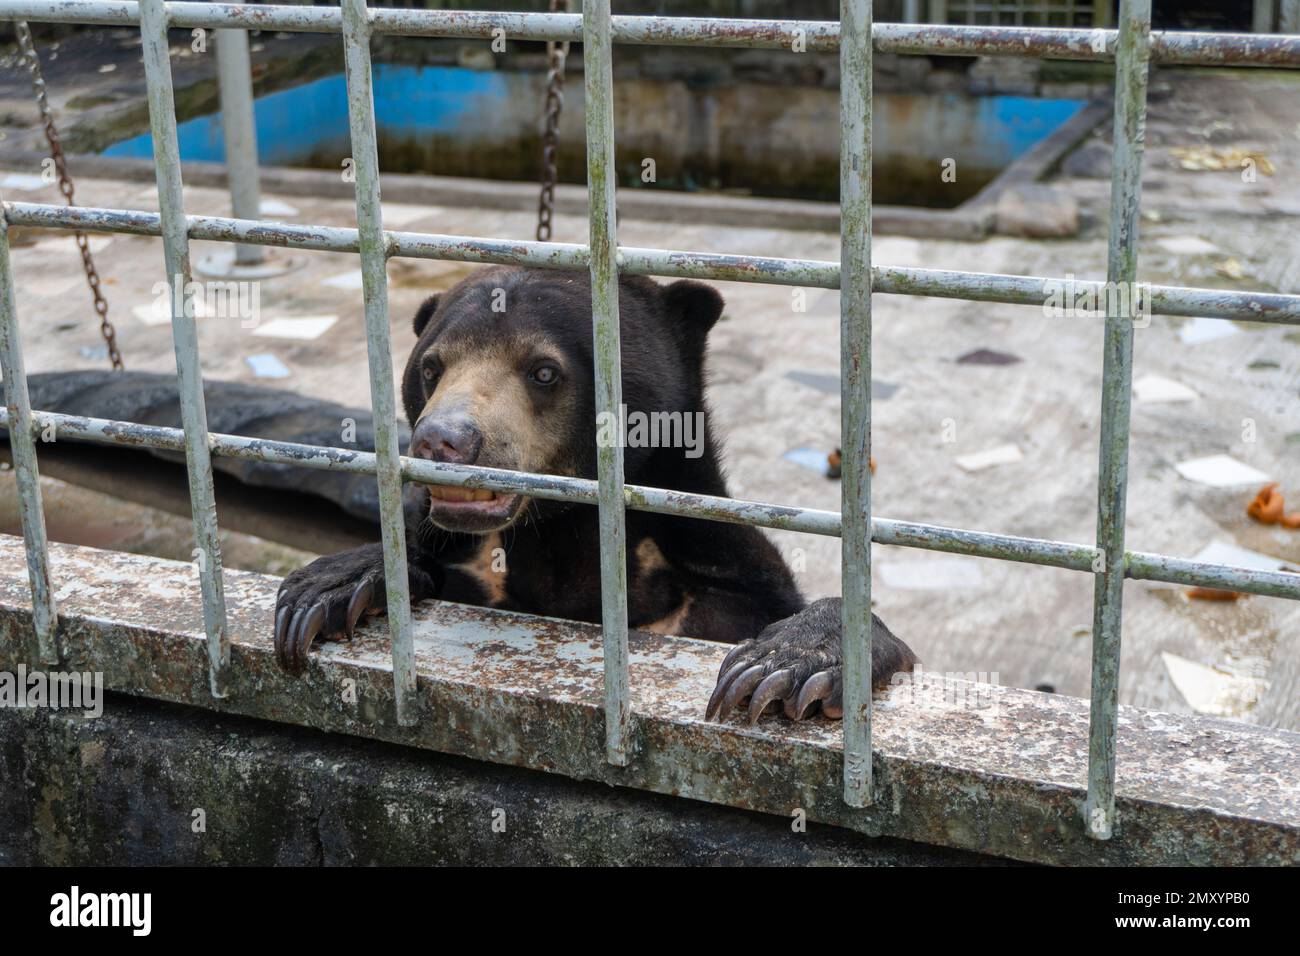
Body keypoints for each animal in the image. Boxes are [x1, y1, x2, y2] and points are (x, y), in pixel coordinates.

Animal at [273, 266, 916, 723]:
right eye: (431, 368)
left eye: (543, 371)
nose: (442, 440)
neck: (561, 537)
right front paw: (329, 590)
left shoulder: (720, 586)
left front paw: (784, 665)